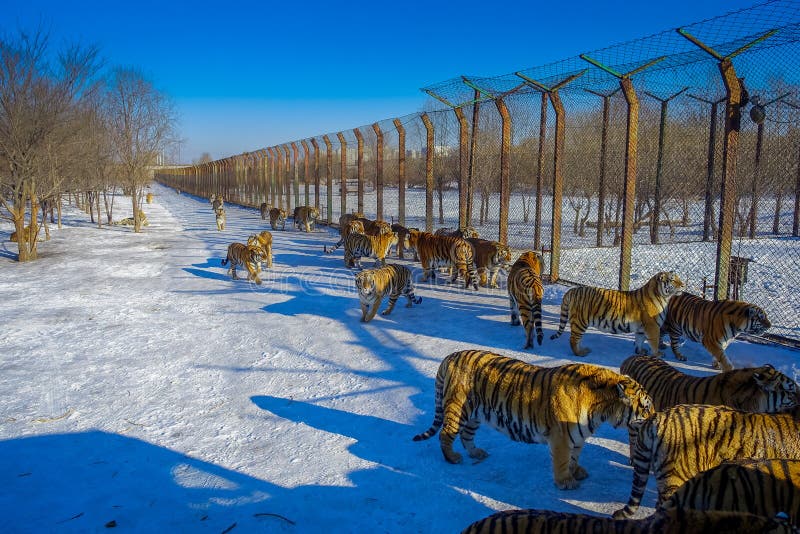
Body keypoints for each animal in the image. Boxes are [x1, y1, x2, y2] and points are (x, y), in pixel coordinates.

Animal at [412, 350, 654, 490]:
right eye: (646, 407)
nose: (655, 418)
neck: (601, 410)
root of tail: (450, 357)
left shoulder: (577, 437)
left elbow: (574, 457)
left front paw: (577, 472)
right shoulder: (561, 437)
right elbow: (562, 460)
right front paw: (565, 482)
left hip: (474, 414)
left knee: (466, 435)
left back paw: (476, 453)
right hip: (458, 408)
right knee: (446, 434)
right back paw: (452, 458)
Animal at [550, 271, 684, 357]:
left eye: (679, 278)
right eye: (672, 279)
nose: (684, 285)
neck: (664, 297)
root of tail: (573, 290)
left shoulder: (641, 328)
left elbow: (639, 340)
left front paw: (640, 351)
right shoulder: (652, 327)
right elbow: (654, 342)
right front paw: (658, 354)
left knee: (577, 339)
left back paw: (582, 349)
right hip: (580, 321)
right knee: (573, 339)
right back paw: (580, 353)